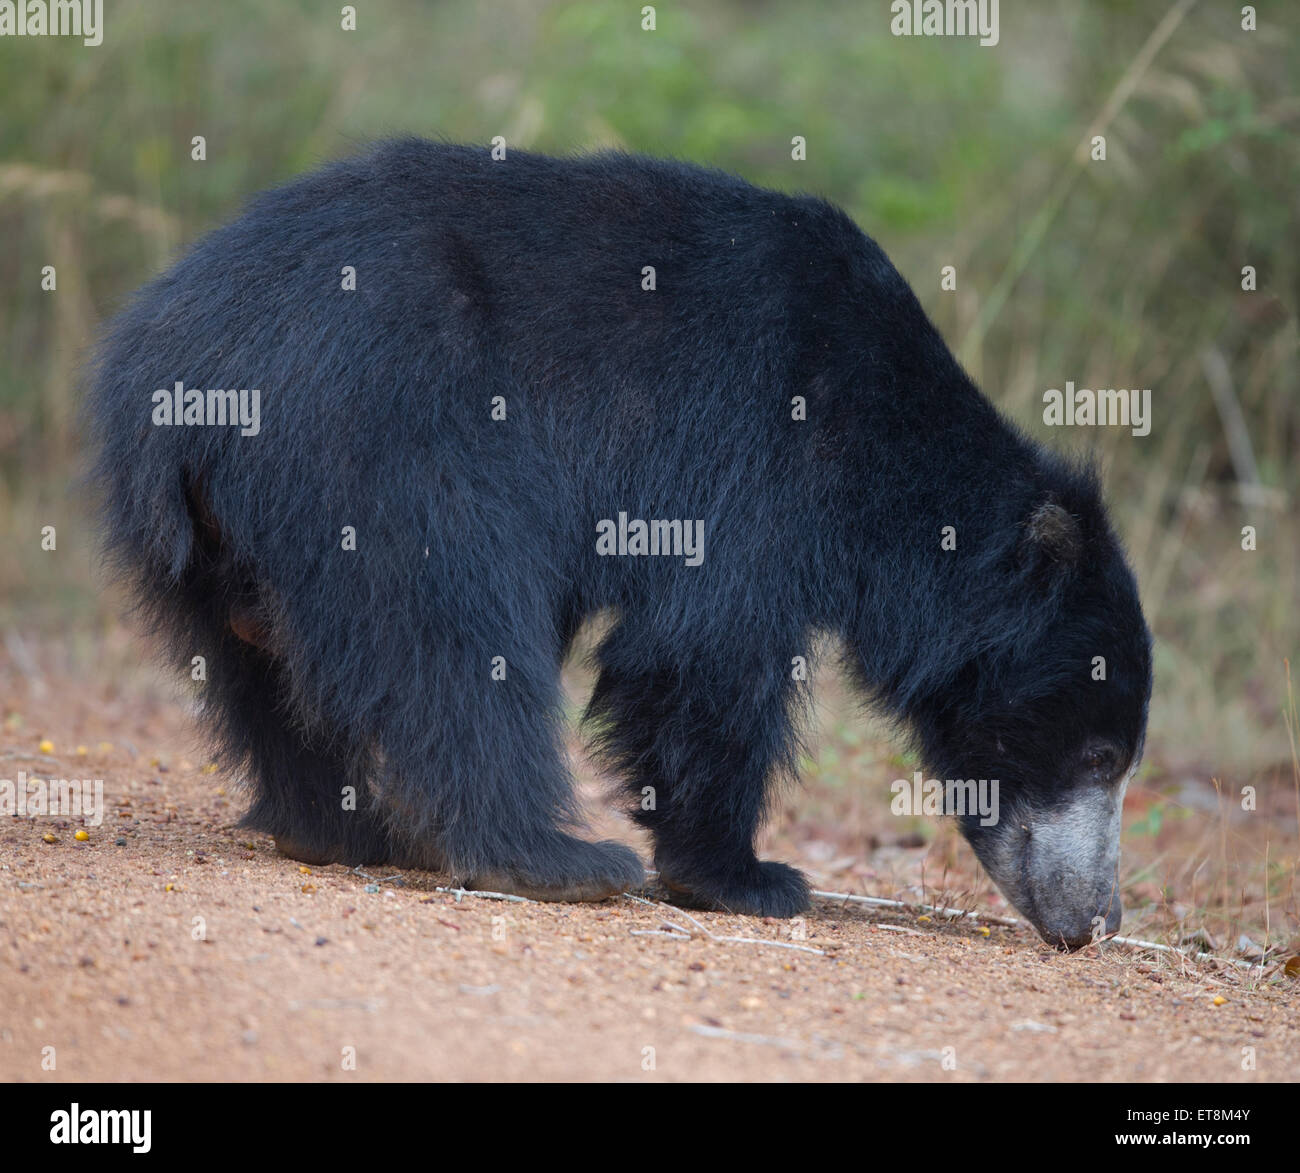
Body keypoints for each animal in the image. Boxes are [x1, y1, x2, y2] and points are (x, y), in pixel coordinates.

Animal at [85, 139, 1152, 949]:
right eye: (1099, 754)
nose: (1095, 918)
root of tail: (179, 365)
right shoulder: (756, 445)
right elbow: (705, 651)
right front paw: (746, 876)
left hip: (230, 528)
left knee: (259, 662)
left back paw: (343, 829)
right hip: (385, 431)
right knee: (452, 628)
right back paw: (550, 856)